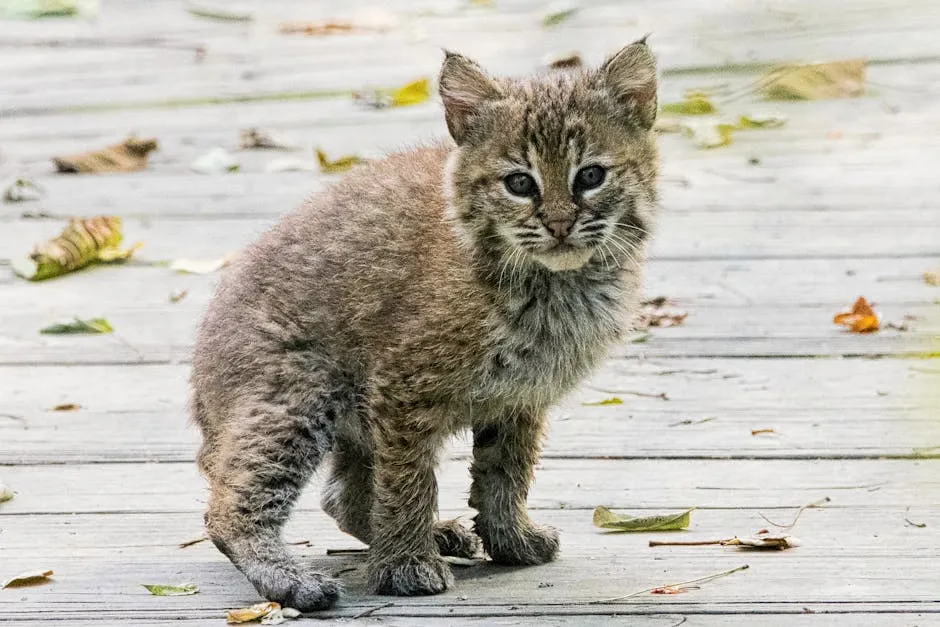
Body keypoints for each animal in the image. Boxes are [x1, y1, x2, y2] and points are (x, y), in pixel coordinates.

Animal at [192, 39, 660, 608]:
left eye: (590, 176)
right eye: (519, 183)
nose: (559, 225)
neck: (559, 282)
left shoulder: (521, 395)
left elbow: (506, 470)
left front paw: (510, 538)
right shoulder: (401, 386)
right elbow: (408, 478)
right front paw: (408, 567)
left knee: (339, 496)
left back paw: (438, 534)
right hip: (298, 389)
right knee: (229, 506)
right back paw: (296, 579)